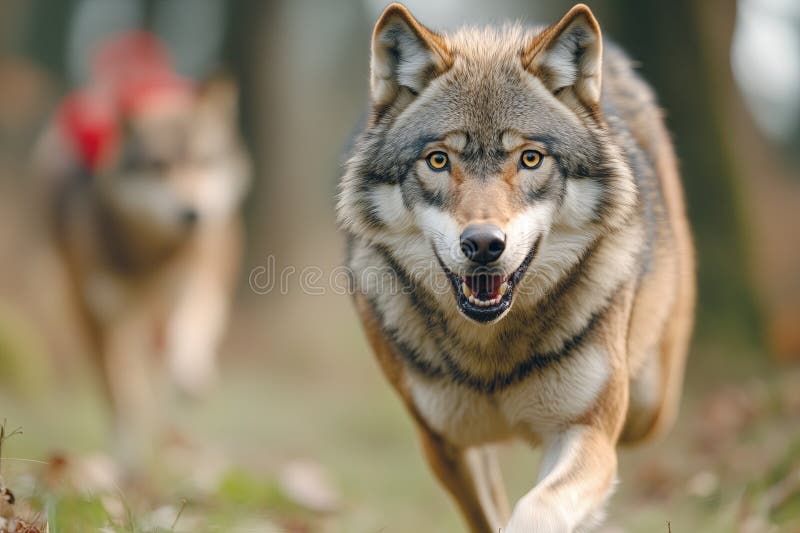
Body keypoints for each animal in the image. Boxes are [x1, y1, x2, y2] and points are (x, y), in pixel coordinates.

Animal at [37, 33, 250, 456]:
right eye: (157, 165)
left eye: (203, 161)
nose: (193, 214)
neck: (152, 253)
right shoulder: (98, 315)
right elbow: (119, 391)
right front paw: (126, 450)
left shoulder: (196, 283)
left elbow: (193, 326)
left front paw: (191, 375)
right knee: (130, 378)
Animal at [337, 3, 695, 531]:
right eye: (438, 160)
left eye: (529, 158)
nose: (484, 244)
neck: (493, 357)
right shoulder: (446, 447)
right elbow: (492, 515)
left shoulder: (586, 432)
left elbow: (539, 507)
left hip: (650, 404)